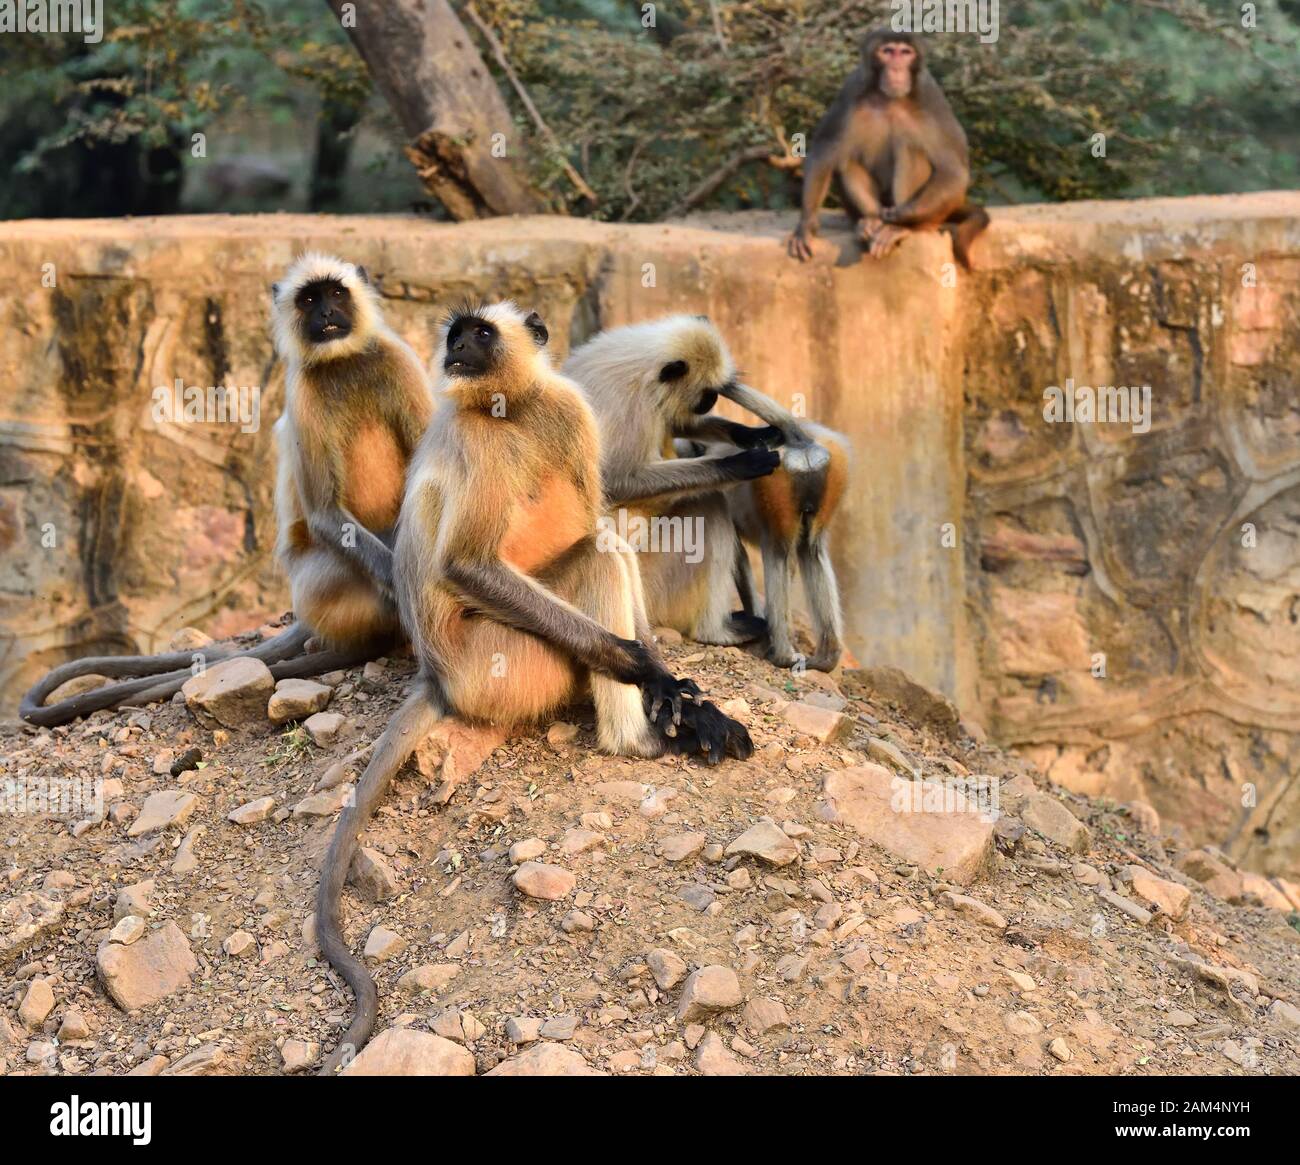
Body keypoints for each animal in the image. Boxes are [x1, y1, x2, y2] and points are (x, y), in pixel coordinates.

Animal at [19, 254, 431, 728]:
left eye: (336, 293)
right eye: (309, 300)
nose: (327, 313)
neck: (342, 362)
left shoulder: (397, 360)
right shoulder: (302, 394)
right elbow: (326, 513)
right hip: (321, 586)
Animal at [316, 302, 751, 1073]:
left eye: (479, 334)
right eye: (457, 334)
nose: (457, 349)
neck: (514, 406)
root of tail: (436, 673)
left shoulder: (568, 411)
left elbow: (600, 509)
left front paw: (683, 696)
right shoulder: (478, 436)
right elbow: (470, 563)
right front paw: (643, 669)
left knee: (601, 539)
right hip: (502, 660)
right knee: (593, 557)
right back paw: (635, 740)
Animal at [563, 315, 784, 649]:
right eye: (707, 395)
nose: (711, 401)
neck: (640, 359)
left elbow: (678, 421)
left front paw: (752, 433)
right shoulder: (631, 406)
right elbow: (617, 482)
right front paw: (738, 464)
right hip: (652, 585)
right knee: (709, 505)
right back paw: (714, 631)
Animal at [787, 27, 989, 269]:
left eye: (905, 53)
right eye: (888, 52)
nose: (896, 68)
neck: (889, 98)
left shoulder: (930, 95)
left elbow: (953, 171)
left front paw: (902, 216)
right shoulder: (852, 88)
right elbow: (823, 152)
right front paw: (806, 226)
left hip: (937, 214)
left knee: (911, 148)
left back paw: (899, 228)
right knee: (846, 160)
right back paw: (870, 223)